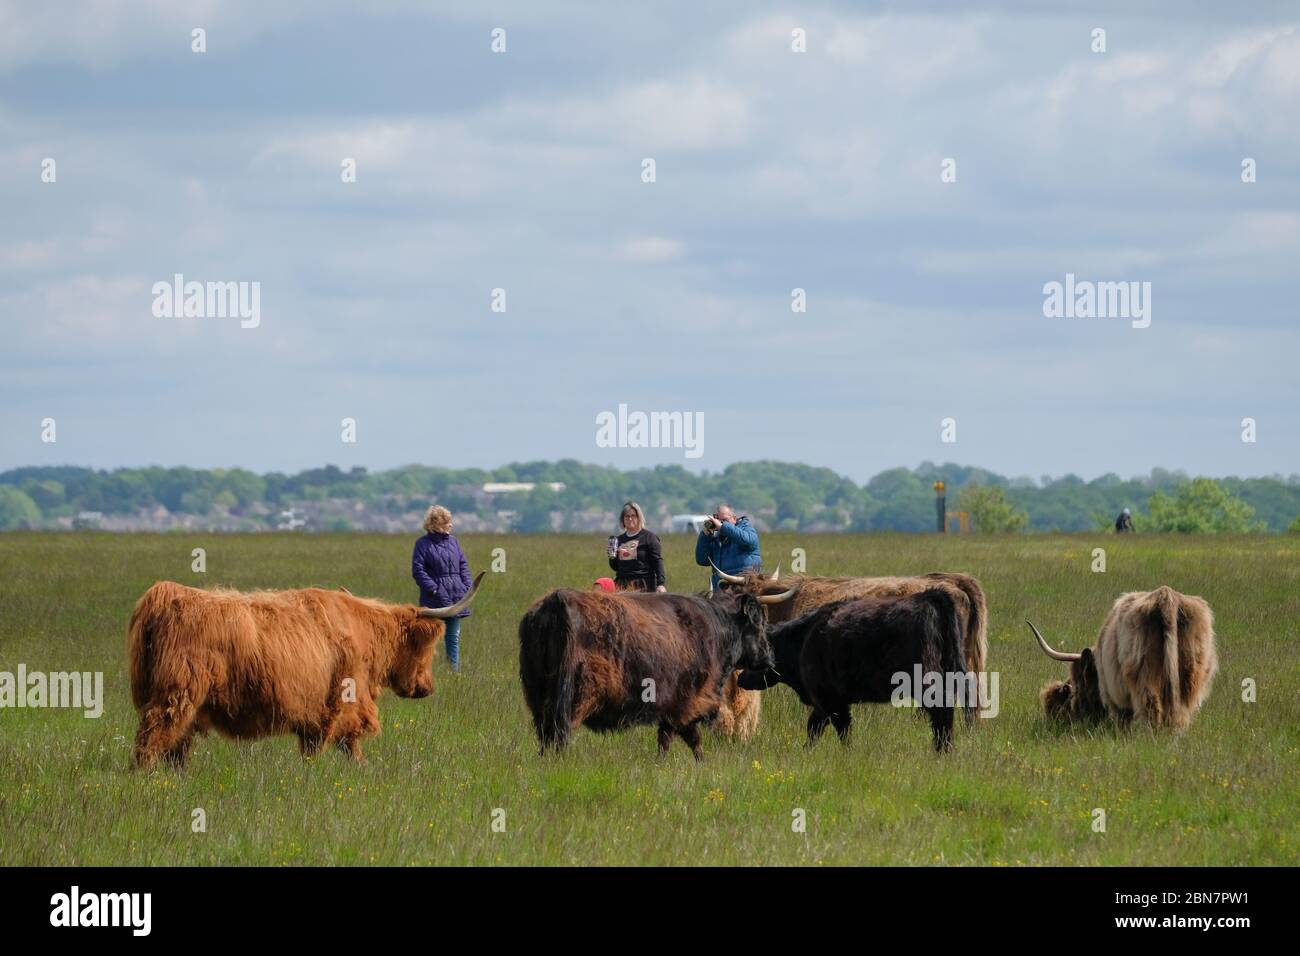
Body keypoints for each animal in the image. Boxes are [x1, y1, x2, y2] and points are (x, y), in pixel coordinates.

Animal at [127, 572, 485, 769]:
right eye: (426, 648)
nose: (427, 688)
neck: (364, 631)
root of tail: (167, 595)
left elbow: (347, 750)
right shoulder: (337, 704)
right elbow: (328, 748)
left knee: (176, 747)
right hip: (177, 694)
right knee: (152, 737)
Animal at [517, 586, 793, 759]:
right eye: (759, 623)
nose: (770, 657)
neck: (717, 626)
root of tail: (557, 601)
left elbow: (676, 738)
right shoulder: (686, 701)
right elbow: (684, 739)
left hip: (539, 695)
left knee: (545, 735)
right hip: (574, 696)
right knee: (559, 734)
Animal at [737, 587, 974, 752]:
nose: (740, 679)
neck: (802, 639)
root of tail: (929, 596)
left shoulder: (829, 698)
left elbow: (840, 729)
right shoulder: (826, 702)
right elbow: (815, 727)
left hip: (926, 678)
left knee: (942, 709)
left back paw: (942, 750)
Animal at [1028, 586, 1217, 731]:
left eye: (1077, 684)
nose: (1057, 723)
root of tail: (1165, 596)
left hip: (1143, 675)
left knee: (1150, 705)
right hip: (1190, 675)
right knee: (1180, 710)